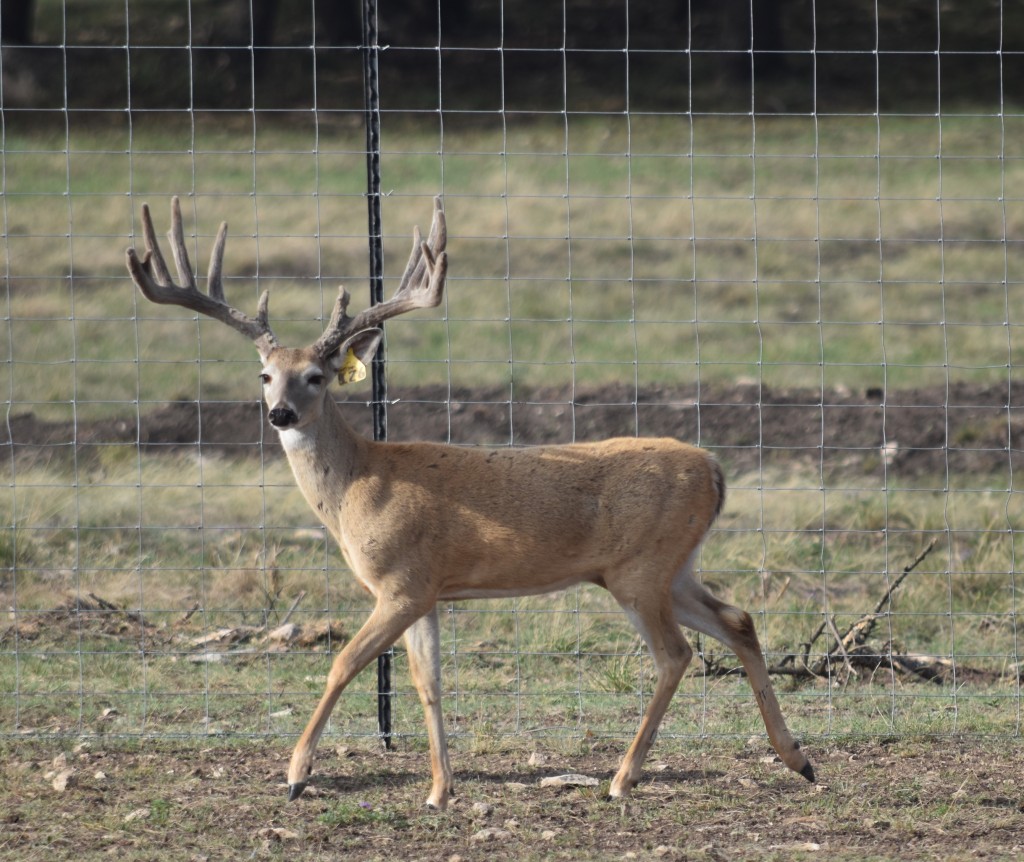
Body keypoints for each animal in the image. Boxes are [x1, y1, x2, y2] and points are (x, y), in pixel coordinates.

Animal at [126, 196, 815, 809]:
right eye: (265, 375)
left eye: (316, 377)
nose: (280, 413)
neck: (359, 486)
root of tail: (715, 468)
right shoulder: (428, 590)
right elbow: (428, 684)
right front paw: (439, 790)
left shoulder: (400, 583)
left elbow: (342, 663)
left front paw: (296, 775)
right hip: (671, 566)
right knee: (738, 620)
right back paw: (796, 759)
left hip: (640, 570)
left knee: (676, 654)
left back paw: (624, 778)